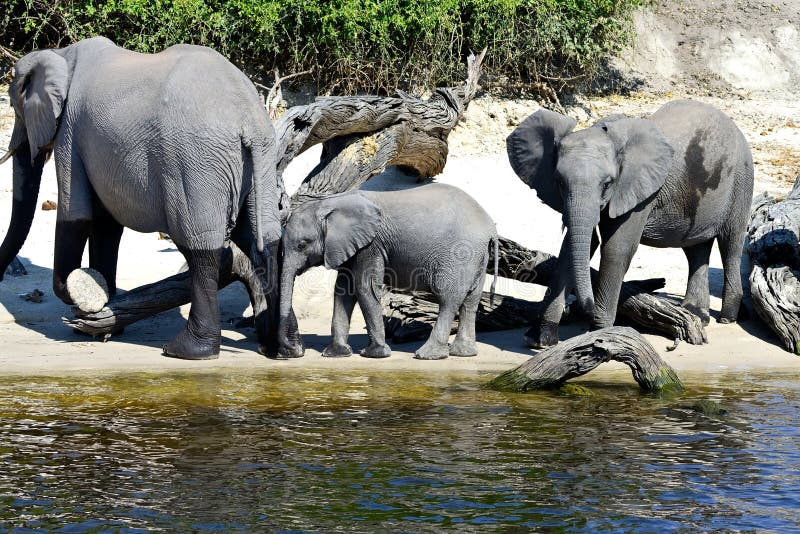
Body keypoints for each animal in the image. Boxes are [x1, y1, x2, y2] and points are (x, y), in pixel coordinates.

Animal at [0, 37, 291, 360]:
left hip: (194, 164)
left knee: (201, 248)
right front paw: (102, 321)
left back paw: (187, 351)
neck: (61, 53)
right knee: (264, 240)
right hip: (261, 158)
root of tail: (248, 118)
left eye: (14, 106)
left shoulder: (69, 134)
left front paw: (82, 301)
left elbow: (76, 216)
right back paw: (282, 348)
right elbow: (106, 226)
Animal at [277, 183, 498, 360]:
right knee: (471, 300)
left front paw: (374, 354)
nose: (294, 351)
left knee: (448, 299)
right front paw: (336, 353)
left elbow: (364, 288)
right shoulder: (349, 246)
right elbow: (343, 291)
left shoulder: (371, 244)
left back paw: (427, 355)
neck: (330, 204)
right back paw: (463, 353)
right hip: (477, 256)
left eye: (302, 245)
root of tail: (490, 226)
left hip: (459, 255)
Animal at [506, 100, 754, 347]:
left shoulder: (639, 194)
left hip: (742, 181)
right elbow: (570, 249)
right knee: (695, 250)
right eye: (559, 182)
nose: (583, 307)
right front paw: (540, 339)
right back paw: (697, 315)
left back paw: (727, 317)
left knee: (730, 245)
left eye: (607, 184)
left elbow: (616, 249)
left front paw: (599, 335)